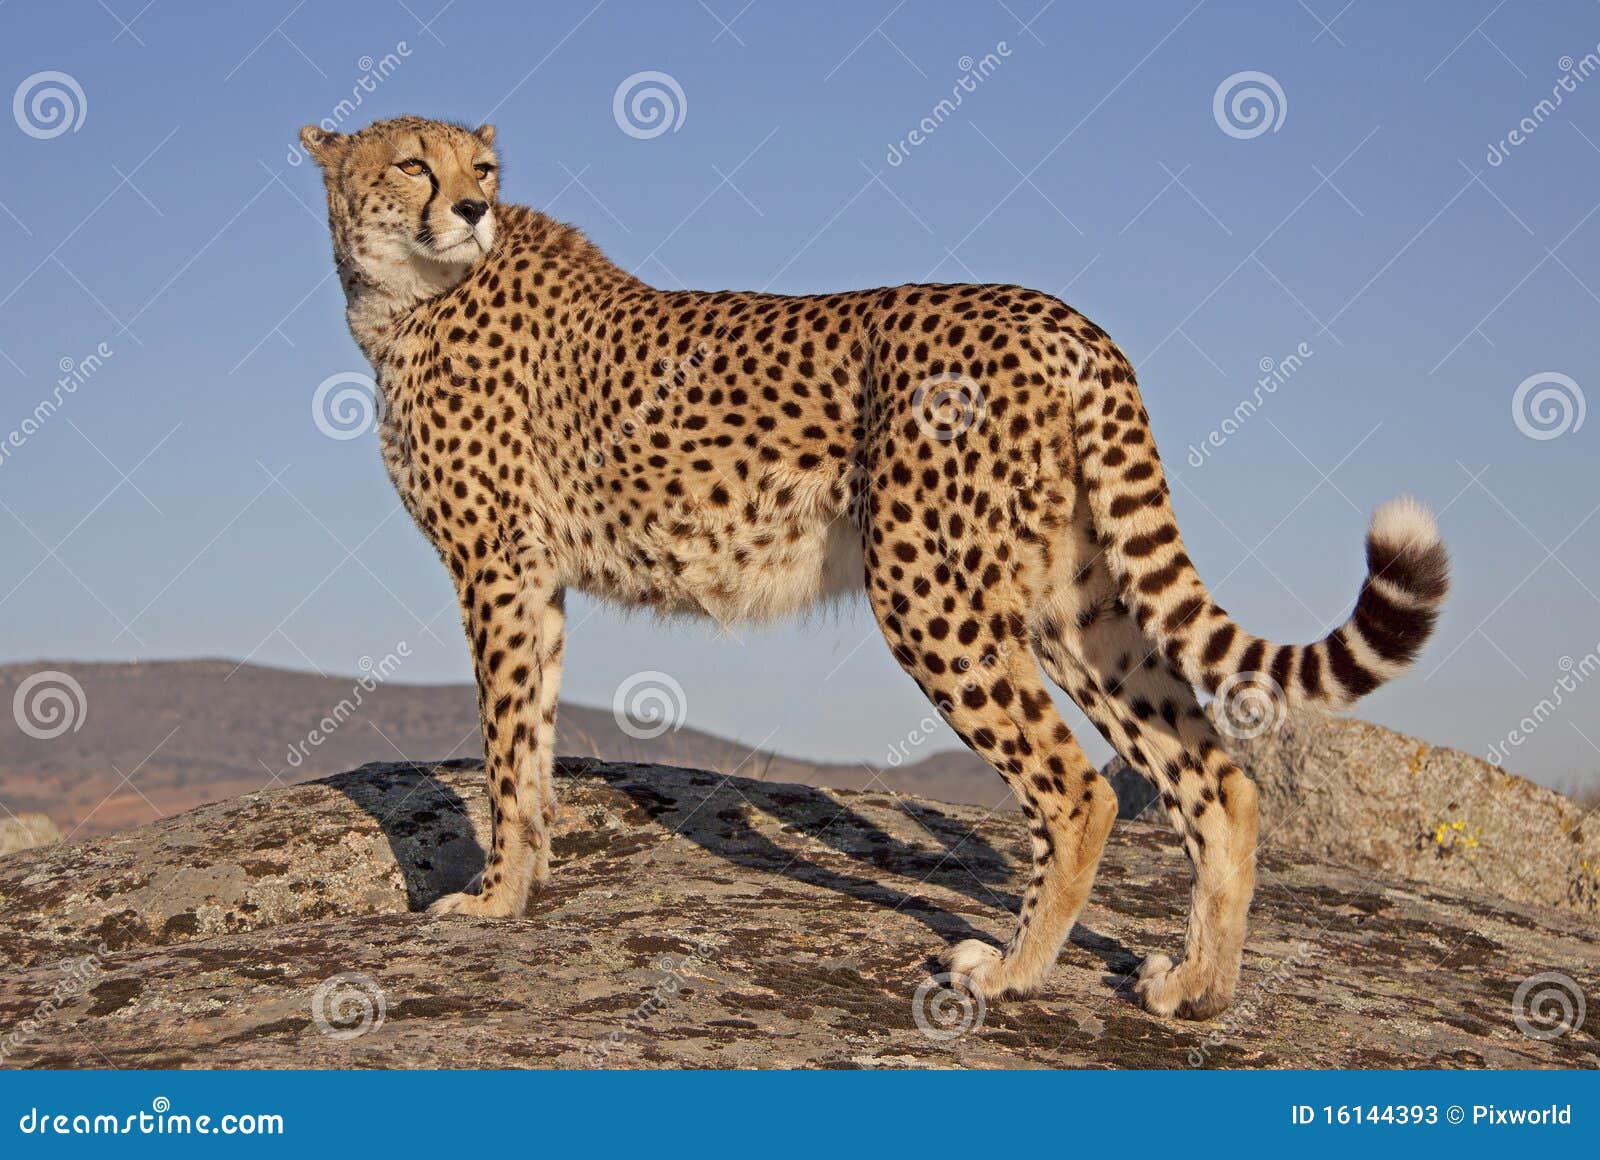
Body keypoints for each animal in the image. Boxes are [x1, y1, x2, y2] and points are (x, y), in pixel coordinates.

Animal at [302, 115, 1449, 1020]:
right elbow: (531, 744)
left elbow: (504, 748)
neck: (408, 296)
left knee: (1079, 787)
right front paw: (524, 885)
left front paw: (490, 899)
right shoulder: (532, 579)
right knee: (1215, 775)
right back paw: (1198, 987)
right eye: (413, 163)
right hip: (1070, 601)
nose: (472, 209)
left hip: (926, 586)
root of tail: (1065, 320)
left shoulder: (496, 565)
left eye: (482, 169)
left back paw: (1010, 971)